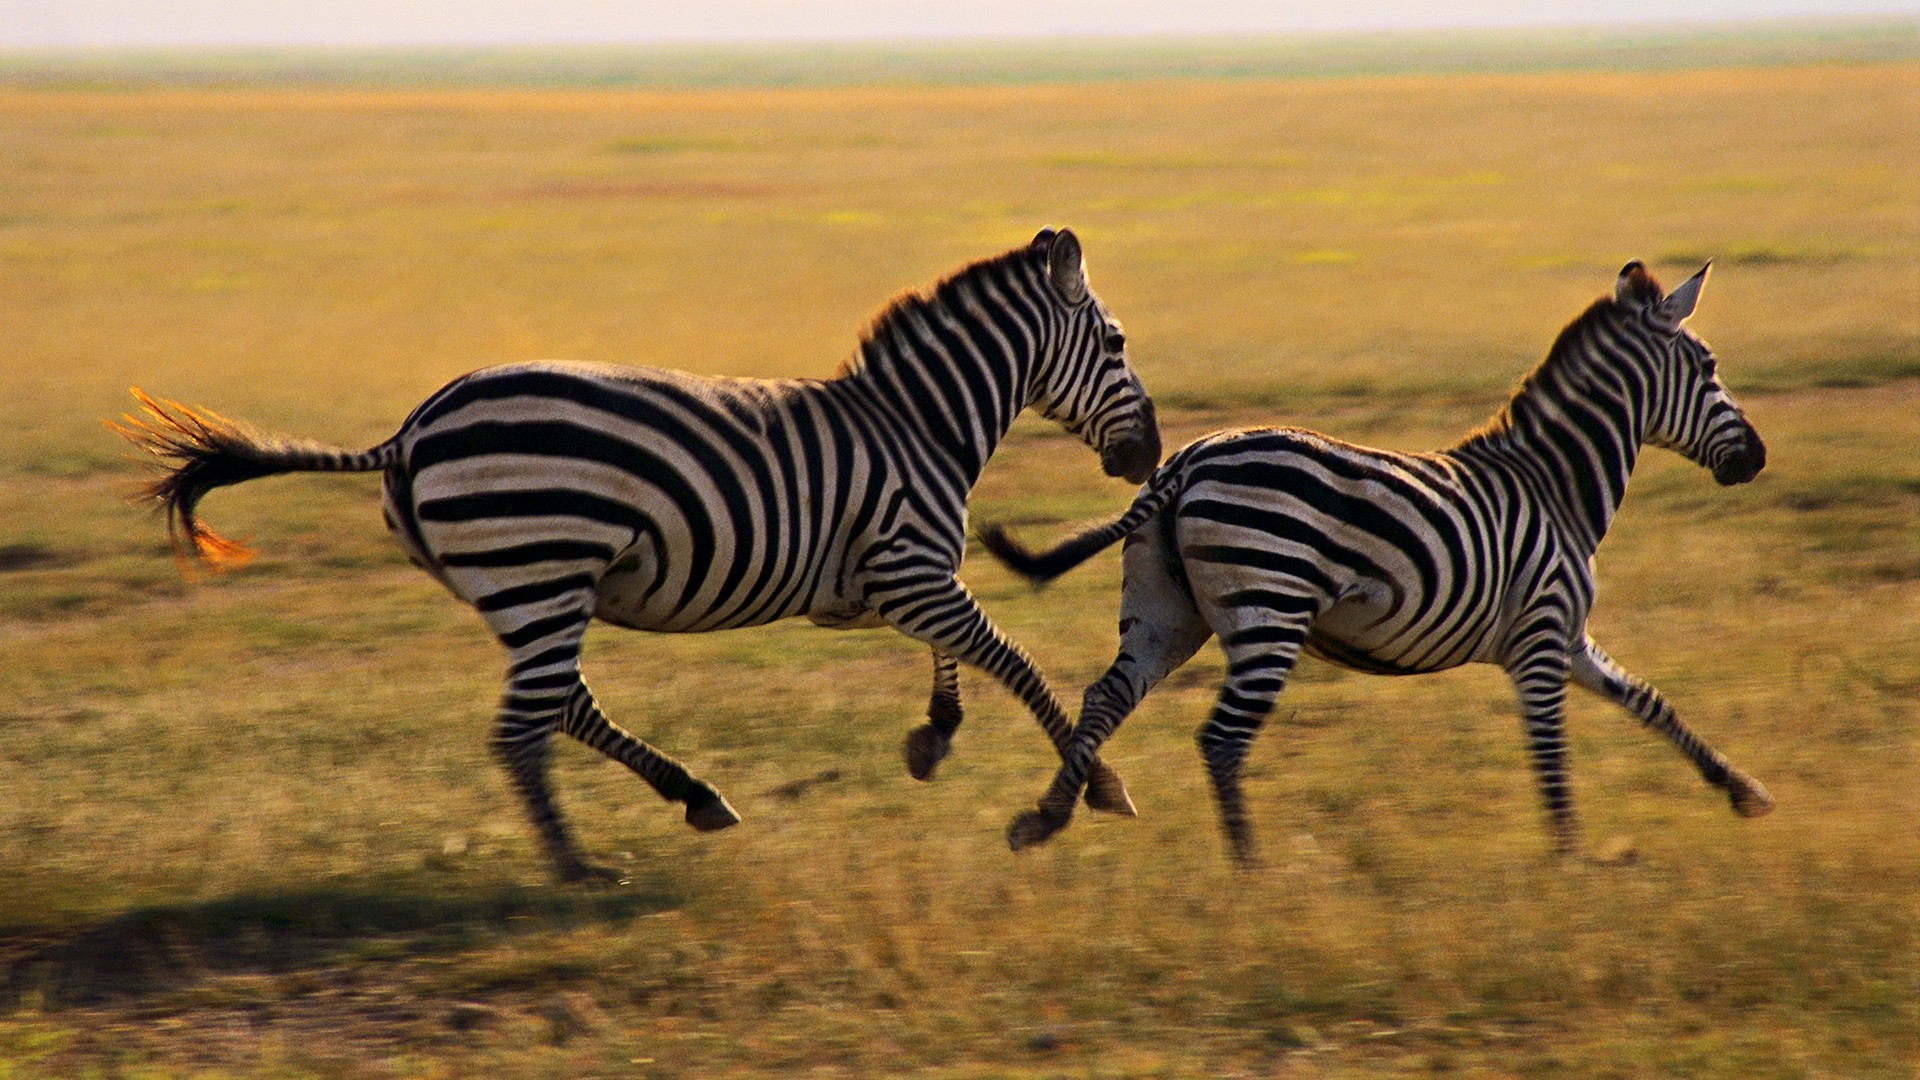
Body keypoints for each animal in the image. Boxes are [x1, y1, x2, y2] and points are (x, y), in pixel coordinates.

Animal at [113, 228, 1160, 883]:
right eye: (1115, 341)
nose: (1147, 454)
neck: (918, 425)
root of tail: (410, 432)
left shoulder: (900, 579)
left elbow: (957, 658)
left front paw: (935, 736)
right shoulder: (911, 567)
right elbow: (1014, 662)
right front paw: (1091, 788)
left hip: (525, 590)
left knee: (564, 705)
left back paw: (690, 797)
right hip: (543, 573)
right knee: (526, 728)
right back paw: (578, 868)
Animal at [980, 260, 1773, 863]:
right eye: (1709, 367)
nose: (1757, 458)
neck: (1554, 487)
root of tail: (1186, 461)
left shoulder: (1567, 639)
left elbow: (1650, 700)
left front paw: (1741, 789)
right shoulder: (1542, 639)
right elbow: (1551, 756)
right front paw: (1570, 861)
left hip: (1164, 615)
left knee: (1105, 697)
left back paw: (1046, 818)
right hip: (1269, 612)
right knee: (1221, 740)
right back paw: (1250, 871)